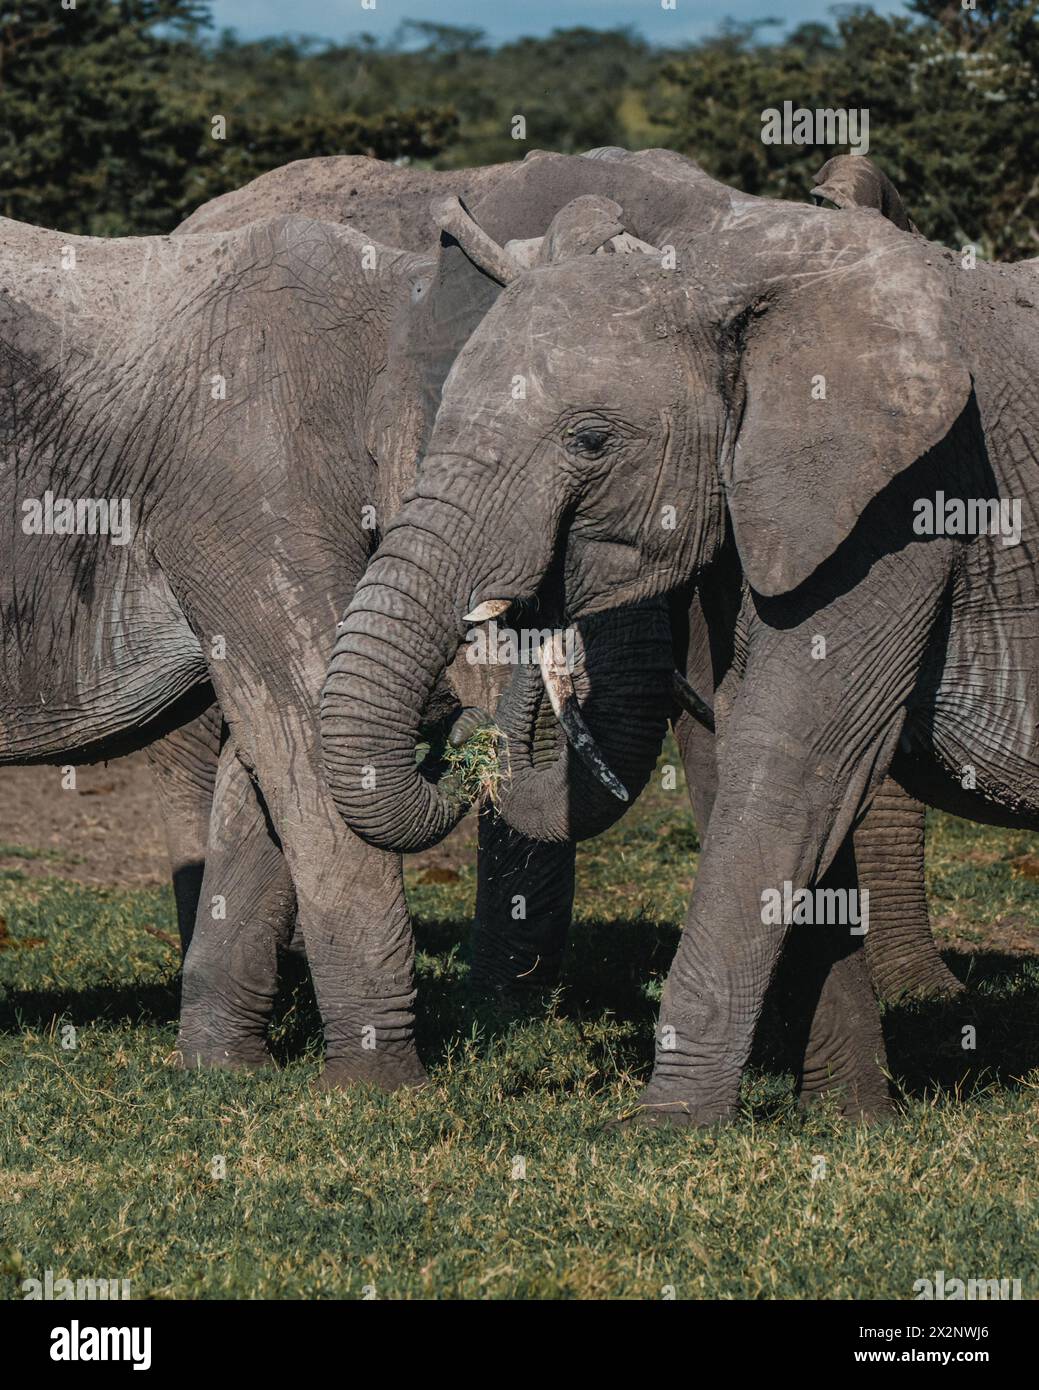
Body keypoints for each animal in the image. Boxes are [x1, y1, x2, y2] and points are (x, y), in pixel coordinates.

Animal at [323, 146, 1038, 1124]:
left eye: (590, 442)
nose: (456, 731)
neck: (720, 270)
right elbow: (753, 763)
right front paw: (849, 1121)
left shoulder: (908, 499)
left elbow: (797, 761)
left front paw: (662, 1129)